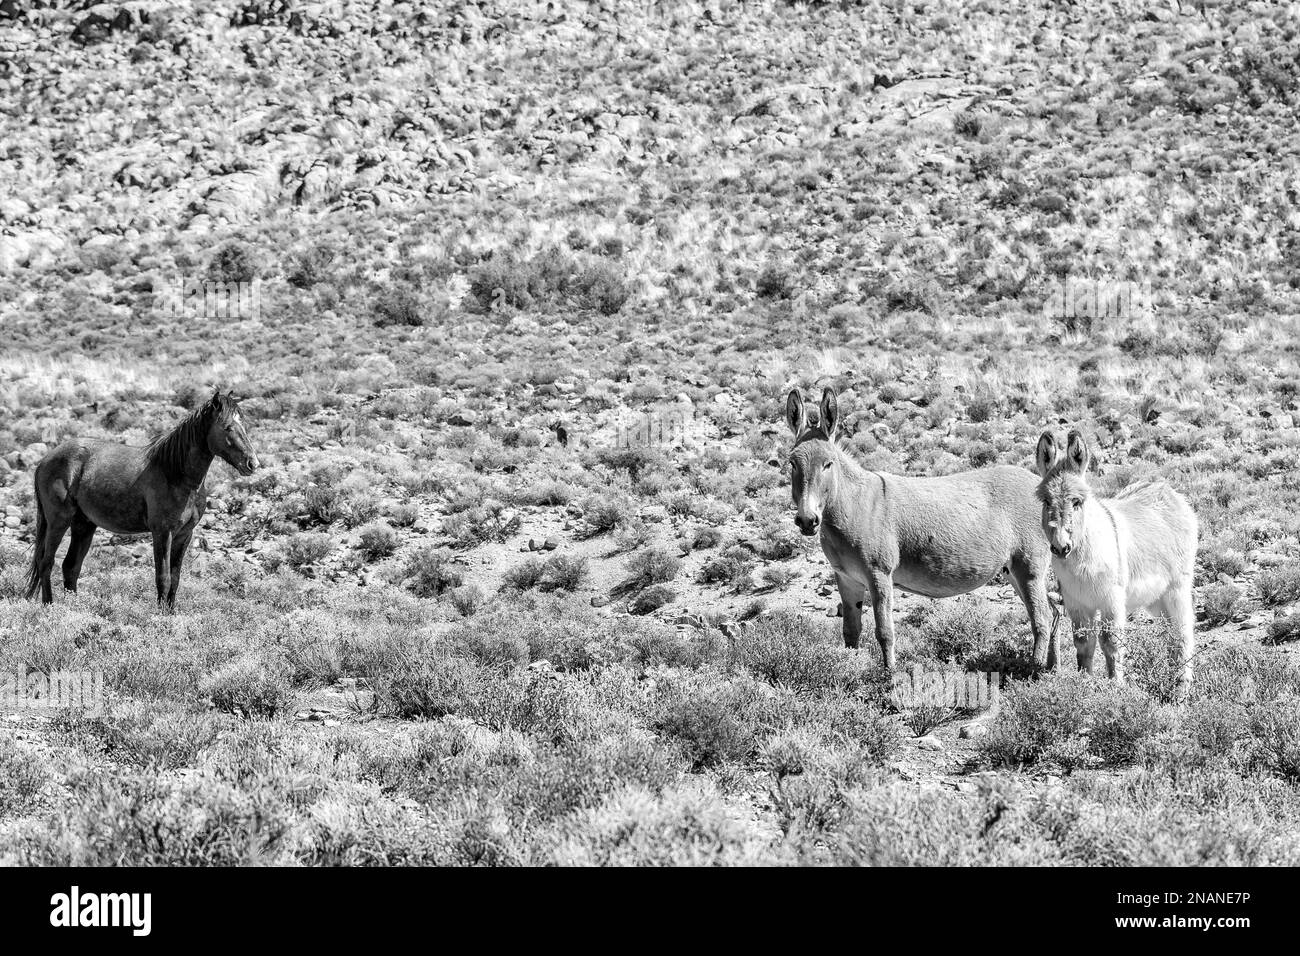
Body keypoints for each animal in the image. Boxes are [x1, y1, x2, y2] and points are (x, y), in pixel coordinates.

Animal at [24, 389, 260, 609]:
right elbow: (163, 578)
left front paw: (170, 614)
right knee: (46, 562)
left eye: (244, 425)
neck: (176, 474)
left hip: (84, 525)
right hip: (58, 521)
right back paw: (49, 606)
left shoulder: (185, 534)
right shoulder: (162, 533)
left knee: (70, 567)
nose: (252, 463)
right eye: (227, 427)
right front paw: (160, 616)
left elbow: (175, 579)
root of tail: (45, 460)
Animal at [786, 387, 1055, 670]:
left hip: (1029, 568)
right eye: (792, 463)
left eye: (828, 464)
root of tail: (1041, 483)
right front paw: (848, 668)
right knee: (1052, 612)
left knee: (1042, 618)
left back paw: (1034, 671)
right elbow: (850, 632)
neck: (853, 505)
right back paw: (1051, 667)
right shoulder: (846, 578)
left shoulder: (879, 574)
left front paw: (889, 675)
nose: (807, 520)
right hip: (1012, 571)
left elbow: (885, 632)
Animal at [1035, 429, 1198, 700]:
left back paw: (1182, 688)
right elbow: (1083, 643)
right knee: (1169, 630)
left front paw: (1116, 688)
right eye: (1046, 501)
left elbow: (1110, 641)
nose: (1060, 548)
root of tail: (1167, 490)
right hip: (1156, 598)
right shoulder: (1077, 602)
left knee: (1183, 630)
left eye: (1077, 502)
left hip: (1177, 586)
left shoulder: (1111, 599)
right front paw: (1084, 684)